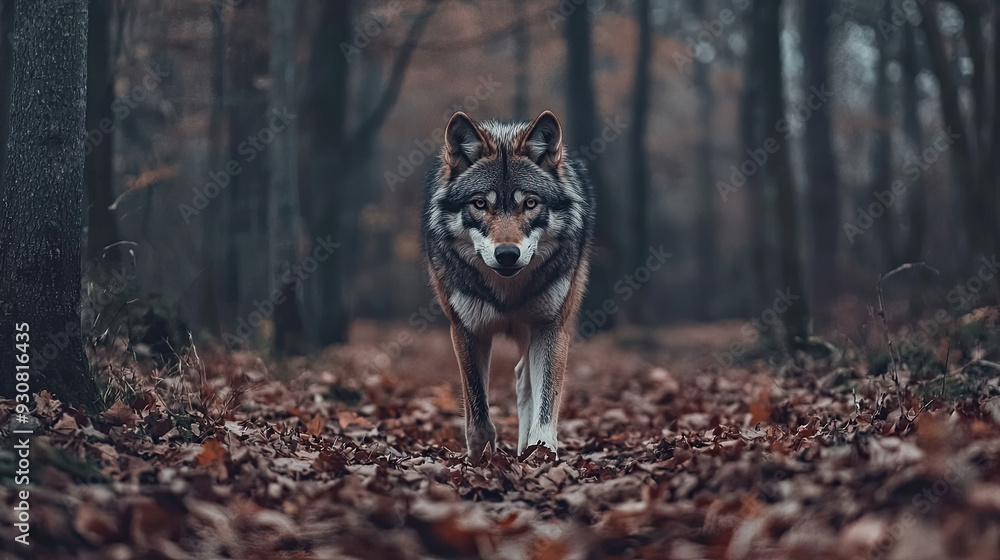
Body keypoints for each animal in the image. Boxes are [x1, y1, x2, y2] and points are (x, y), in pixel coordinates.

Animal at [421, 110, 595, 462]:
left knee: (524, 383)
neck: (507, 290)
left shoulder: (551, 329)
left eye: (530, 203)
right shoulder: (466, 330)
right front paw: (479, 460)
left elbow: (546, 403)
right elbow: (477, 412)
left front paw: (540, 452)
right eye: (479, 204)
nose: (506, 254)